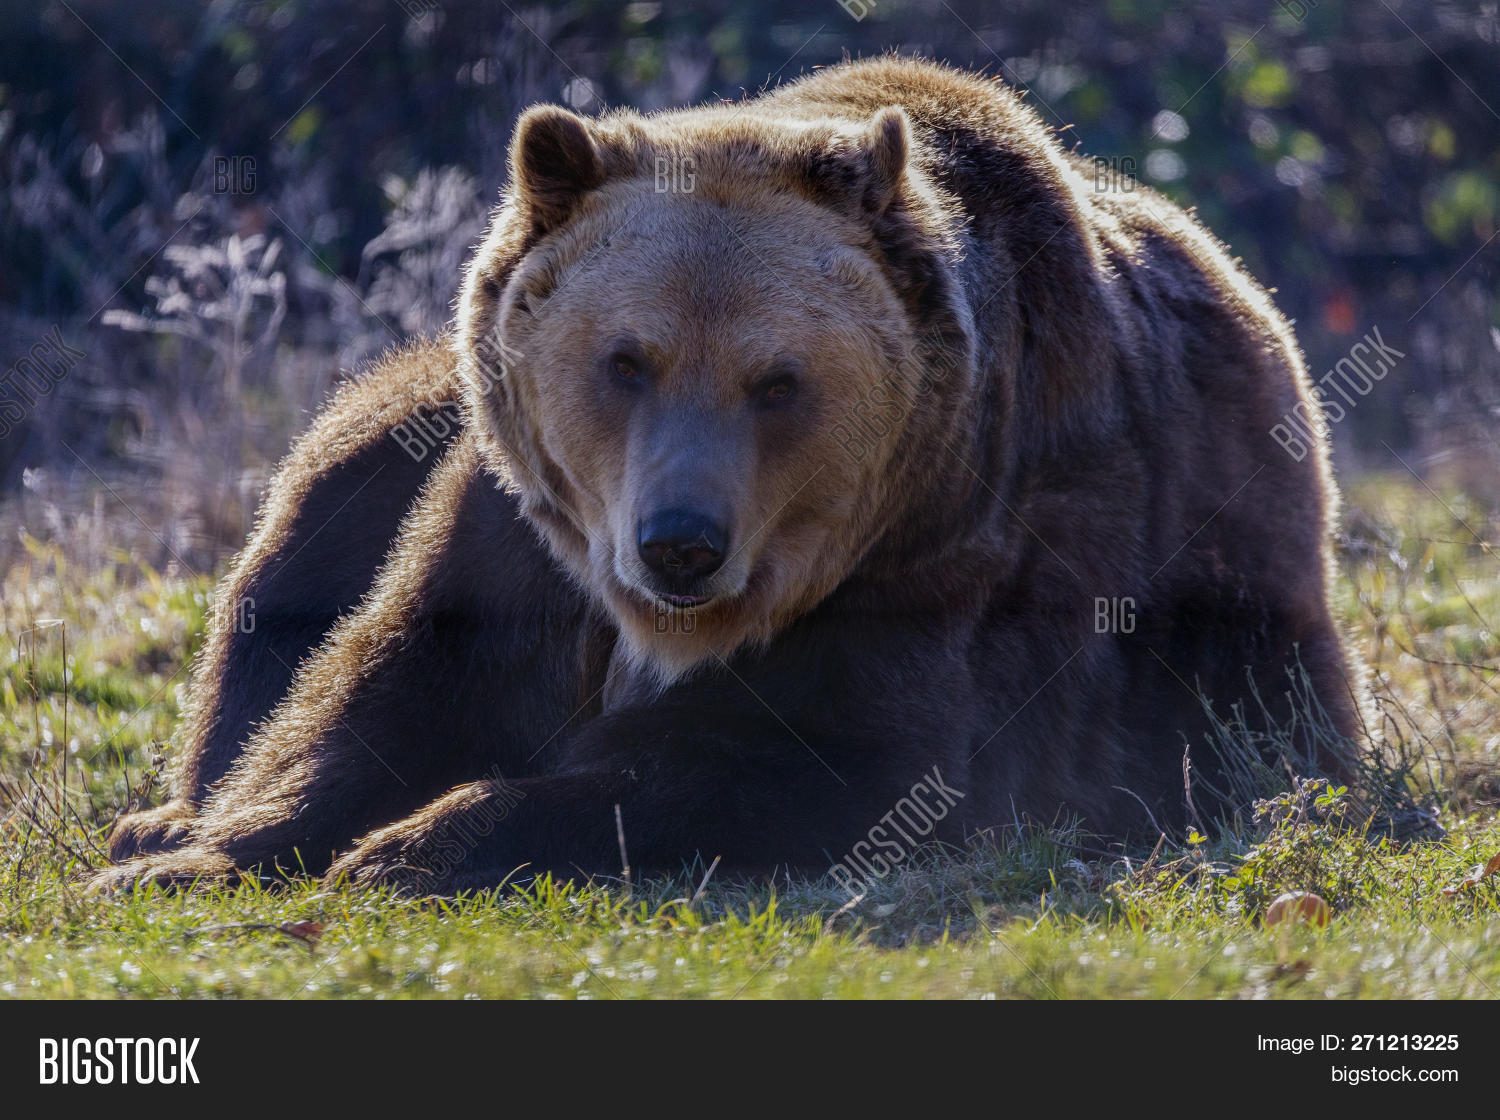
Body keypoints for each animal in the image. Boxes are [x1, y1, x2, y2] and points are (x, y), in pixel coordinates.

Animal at [99, 57, 1365, 894]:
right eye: (628, 359)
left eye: (777, 380)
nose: (681, 543)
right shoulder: (517, 537)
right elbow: (373, 689)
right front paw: (202, 855)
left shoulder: (952, 562)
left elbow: (799, 766)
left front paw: (411, 844)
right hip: (398, 421)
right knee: (289, 563)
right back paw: (150, 824)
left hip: (1249, 639)